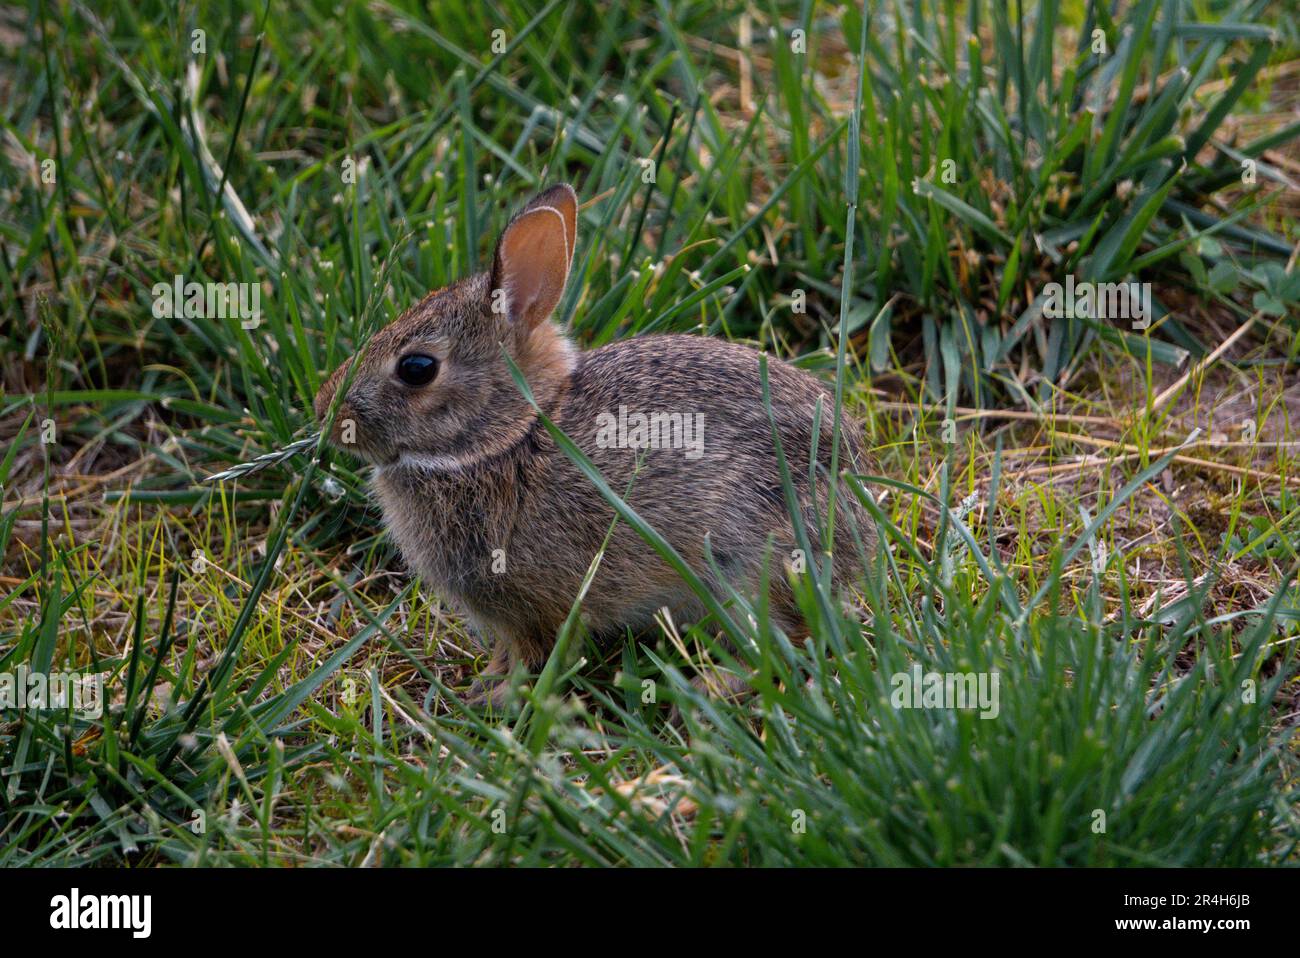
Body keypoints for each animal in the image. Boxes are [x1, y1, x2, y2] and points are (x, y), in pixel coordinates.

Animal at [314, 183, 875, 709]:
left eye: (417, 368)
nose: (325, 410)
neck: (508, 439)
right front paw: (485, 682)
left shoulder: (536, 604)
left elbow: (535, 654)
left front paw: (496, 697)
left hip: (741, 564)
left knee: (783, 640)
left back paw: (708, 689)